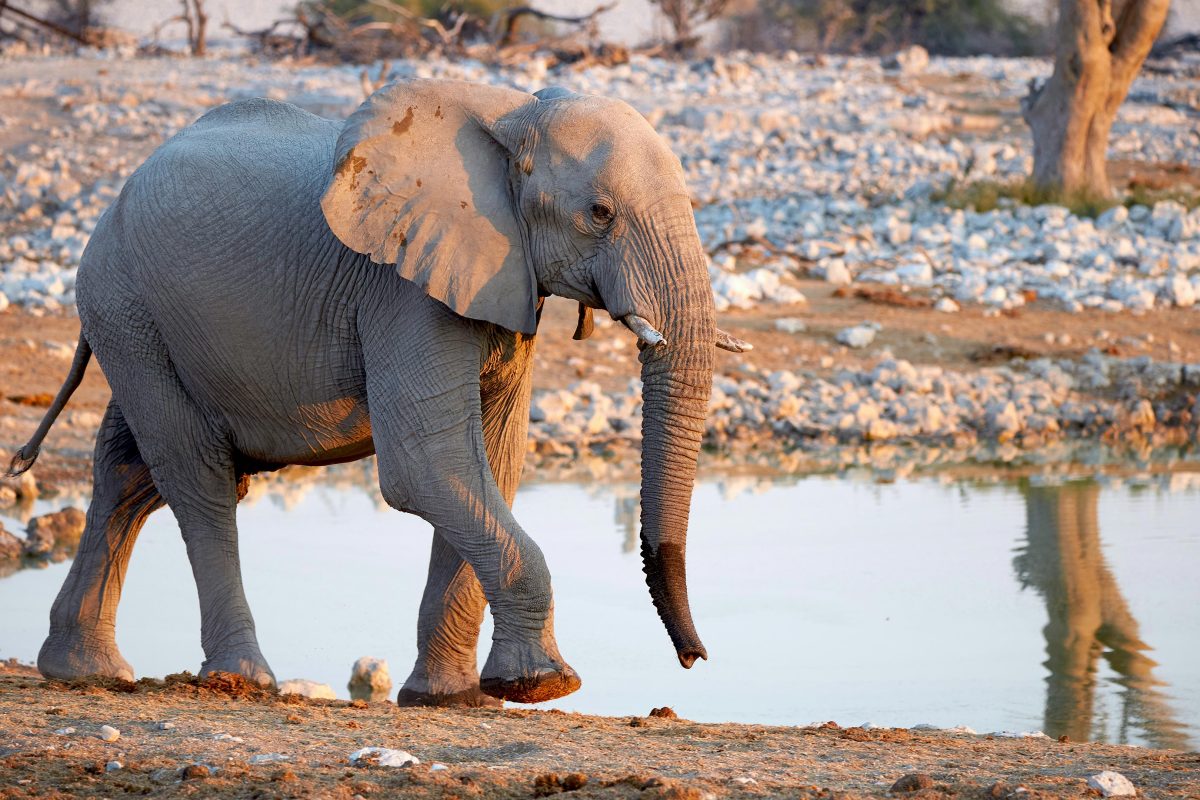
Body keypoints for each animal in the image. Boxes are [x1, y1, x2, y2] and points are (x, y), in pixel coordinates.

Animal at [8, 78, 750, 706]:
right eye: (600, 213)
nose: (695, 658)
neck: (514, 114)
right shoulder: (401, 289)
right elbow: (426, 465)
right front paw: (543, 686)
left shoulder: (498, 280)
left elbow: (492, 462)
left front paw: (451, 698)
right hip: (125, 302)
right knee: (196, 476)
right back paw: (242, 680)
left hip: (139, 320)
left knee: (128, 474)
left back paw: (85, 673)